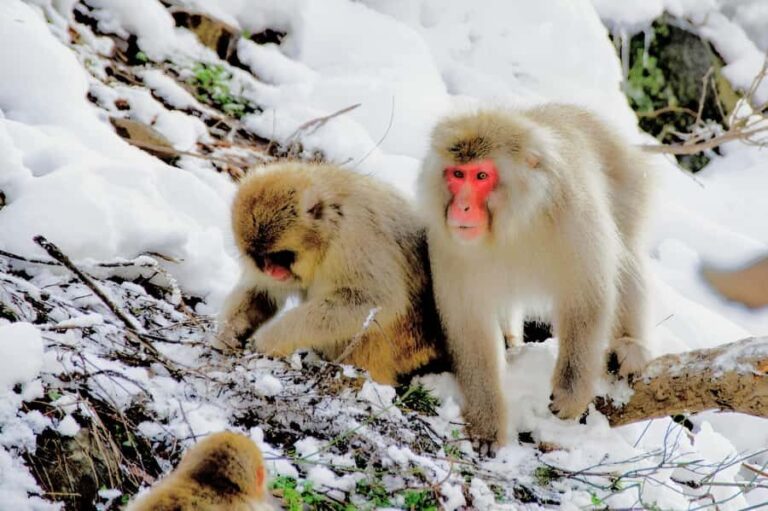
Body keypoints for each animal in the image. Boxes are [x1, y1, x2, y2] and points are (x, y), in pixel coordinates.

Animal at [215, 161, 446, 385]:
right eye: (261, 259)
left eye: (281, 256)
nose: (271, 270)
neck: (328, 232)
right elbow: (263, 292)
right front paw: (228, 332)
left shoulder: (356, 237)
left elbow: (375, 299)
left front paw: (272, 337)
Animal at [418, 104, 653, 447]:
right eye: (457, 174)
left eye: (481, 176)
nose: (460, 207)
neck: (516, 223)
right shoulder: (448, 243)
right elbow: (470, 325)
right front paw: (487, 421)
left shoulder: (575, 213)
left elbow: (587, 297)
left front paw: (571, 391)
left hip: (629, 186)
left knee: (626, 252)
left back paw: (630, 344)